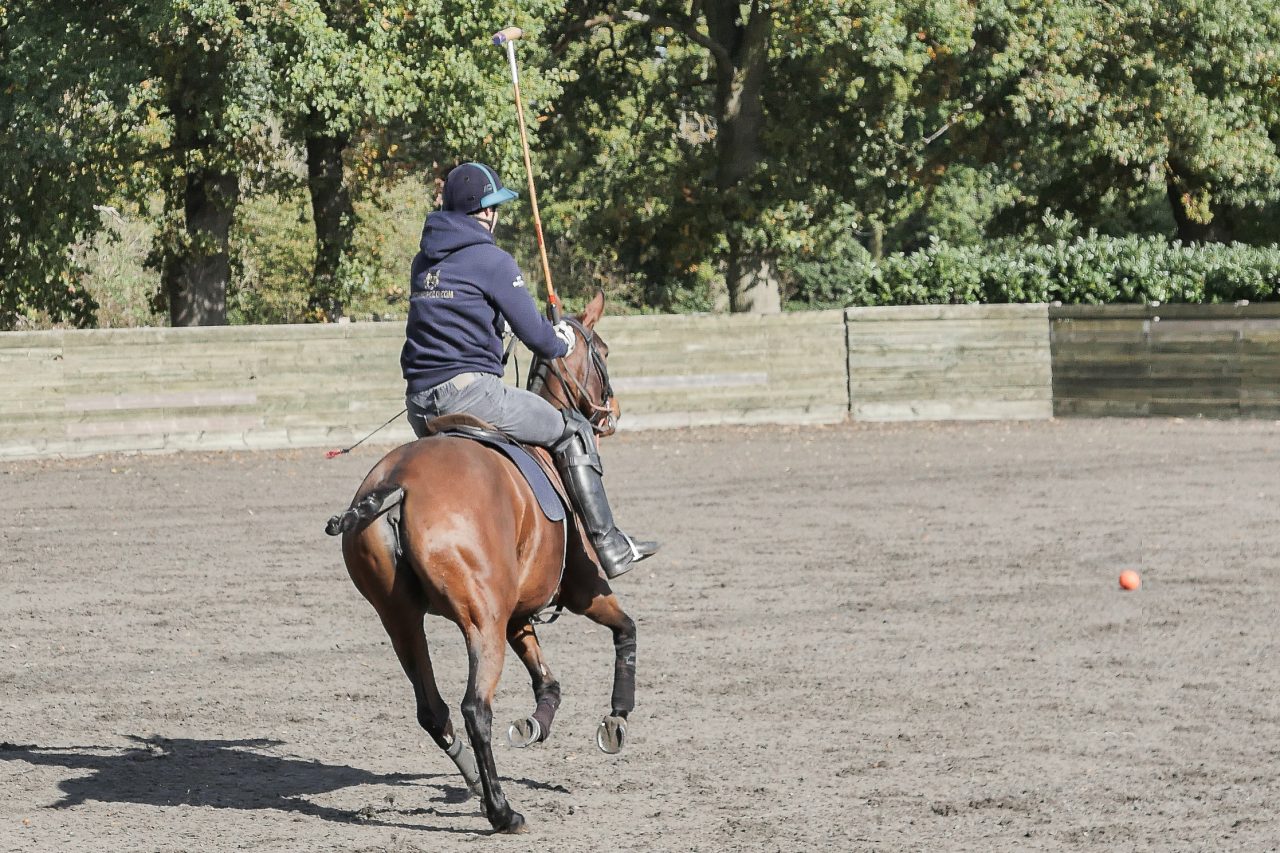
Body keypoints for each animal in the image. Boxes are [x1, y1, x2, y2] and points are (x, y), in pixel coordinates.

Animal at [325, 291, 637, 834]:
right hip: (480, 619)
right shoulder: (580, 590)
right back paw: (502, 811)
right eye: (602, 350)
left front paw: (535, 723)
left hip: (399, 618)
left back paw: (473, 783)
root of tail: (396, 488)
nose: (612, 412)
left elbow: (548, 680)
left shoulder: (517, 612)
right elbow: (626, 628)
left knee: (433, 709)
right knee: (475, 707)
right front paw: (616, 719)